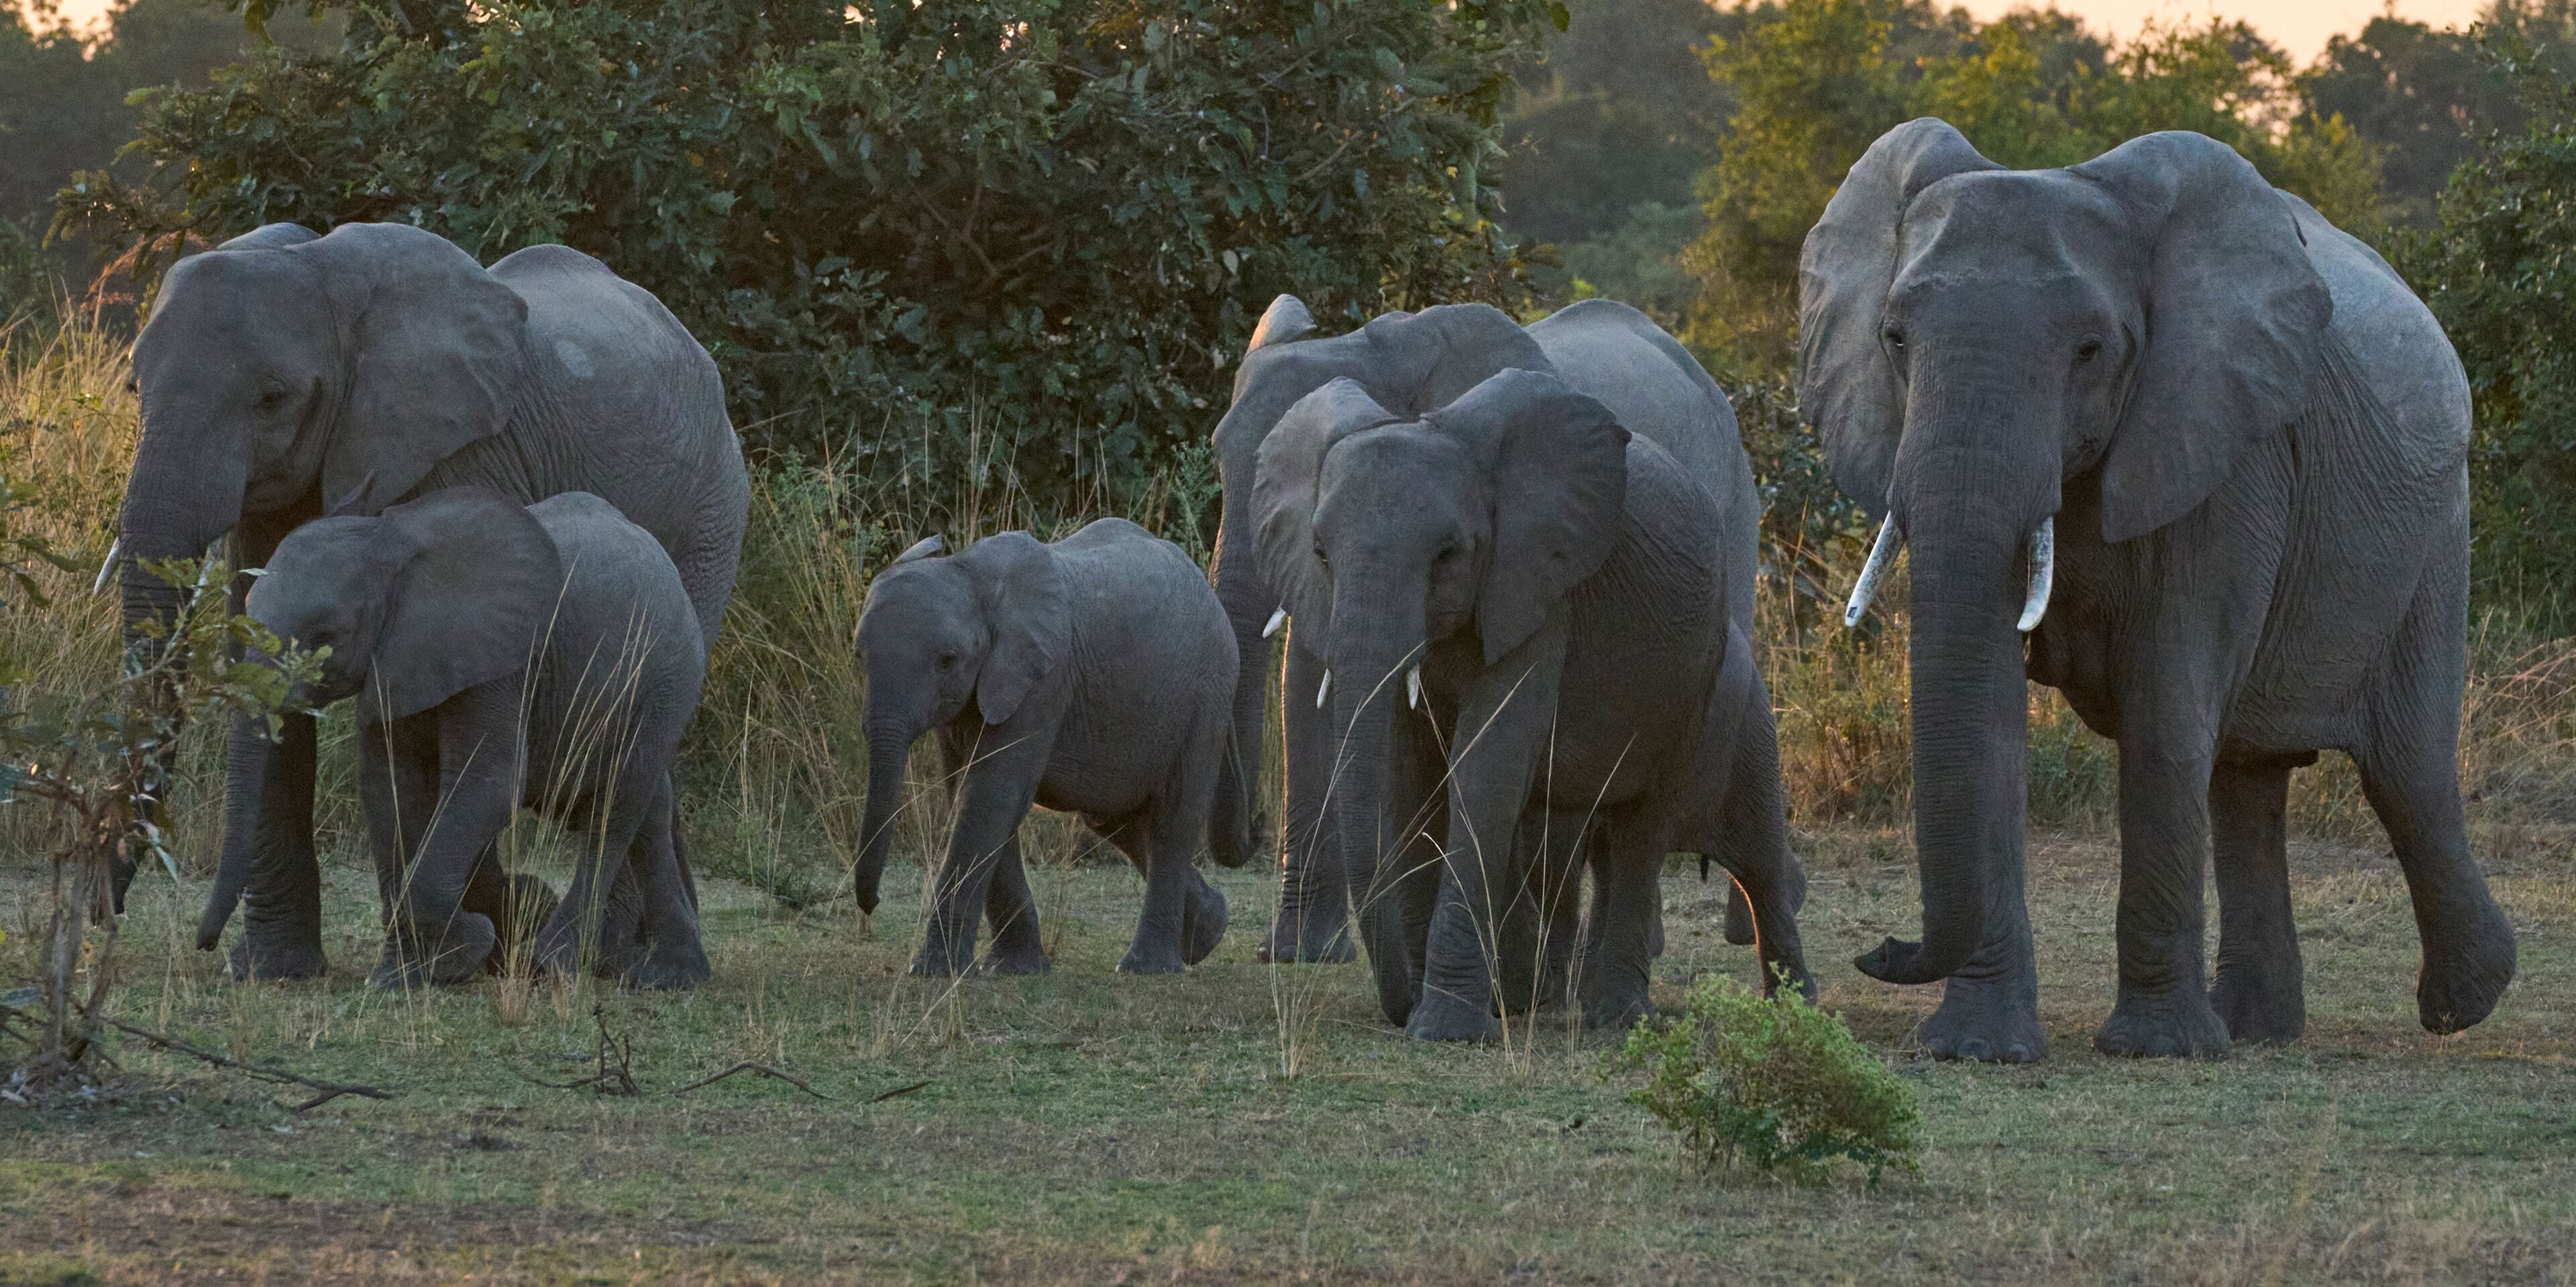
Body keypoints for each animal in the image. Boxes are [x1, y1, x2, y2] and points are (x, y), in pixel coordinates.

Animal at [247, 489, 710, 989]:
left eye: (326, 634)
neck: (388, 542)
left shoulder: (503, 662)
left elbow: (492, 785)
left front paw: (468, 948)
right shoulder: (395, 661)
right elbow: (388, 790)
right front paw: (400, 979)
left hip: (666, 675)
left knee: (616, 802)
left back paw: (553, 962)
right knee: (650, 805)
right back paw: (673, 976)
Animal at [852, 519, 1239, 976]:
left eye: (947, 660)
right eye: (859, 657)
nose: (871, 905)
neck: (971, 575)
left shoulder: (1043, 680)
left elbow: (992, 796)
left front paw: (933, 972)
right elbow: (972, 794)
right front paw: (1013, 970)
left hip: (1209, 693)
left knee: (1172, 818)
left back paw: (1148, 967)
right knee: (1114, 818)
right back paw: (1208, 933)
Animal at [1205, 296, 1764, 964]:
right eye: (1217, 453)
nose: (1251, 830)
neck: (1377, 349)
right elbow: (1307, 687)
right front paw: (1298, 954)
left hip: (1734, 508)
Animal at [1249, 369, 1812, 1041]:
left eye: (1449, 554)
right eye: (1320, 554)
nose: (1400, 1005)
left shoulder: (1542, 590)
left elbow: (1488, 769)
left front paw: (1449, 1028)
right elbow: (1412, 777)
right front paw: (1462, 1006)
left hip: (1699, 683)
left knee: (1669, 835)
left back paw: (1654, 1018)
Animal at [1802, 119, 2518, 1060]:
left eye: (2089, 351)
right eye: (1892, 339)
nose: (1879, 949)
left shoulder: (2224, 450)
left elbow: (2166, 711)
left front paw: (2155, 1049)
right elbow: (1989, 715)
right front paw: (1976, 1048)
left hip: (2437, 536)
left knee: (2407, 771)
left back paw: (2462, 1003)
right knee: (2248, 778)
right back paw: (2255, 1029)